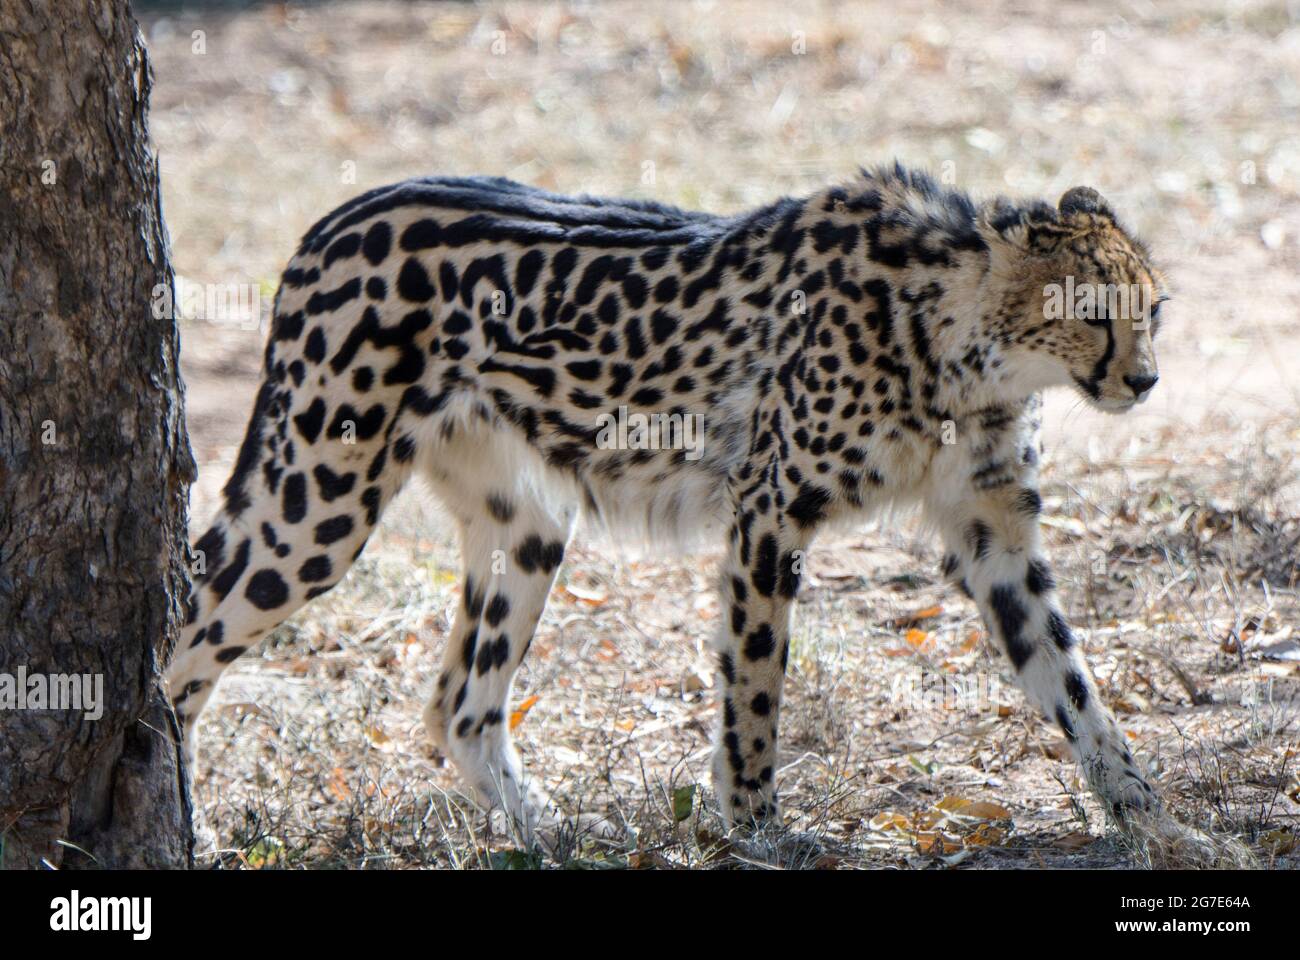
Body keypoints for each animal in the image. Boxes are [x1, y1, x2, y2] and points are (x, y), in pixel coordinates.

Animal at [166, 163, 1168, 842]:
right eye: (1088, 312)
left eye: (1152, 310)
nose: (1146, 382)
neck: (956, 334)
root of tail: (336, 218)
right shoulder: (767, 512)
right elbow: (756, 687)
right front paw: (758, 827)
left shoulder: (994, 536)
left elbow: (1073, 682)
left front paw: (1155, 816)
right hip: (316, 505)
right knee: (181, 647)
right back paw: (187, 821)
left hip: (530, 527)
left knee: (458, 705)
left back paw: (552, 832)